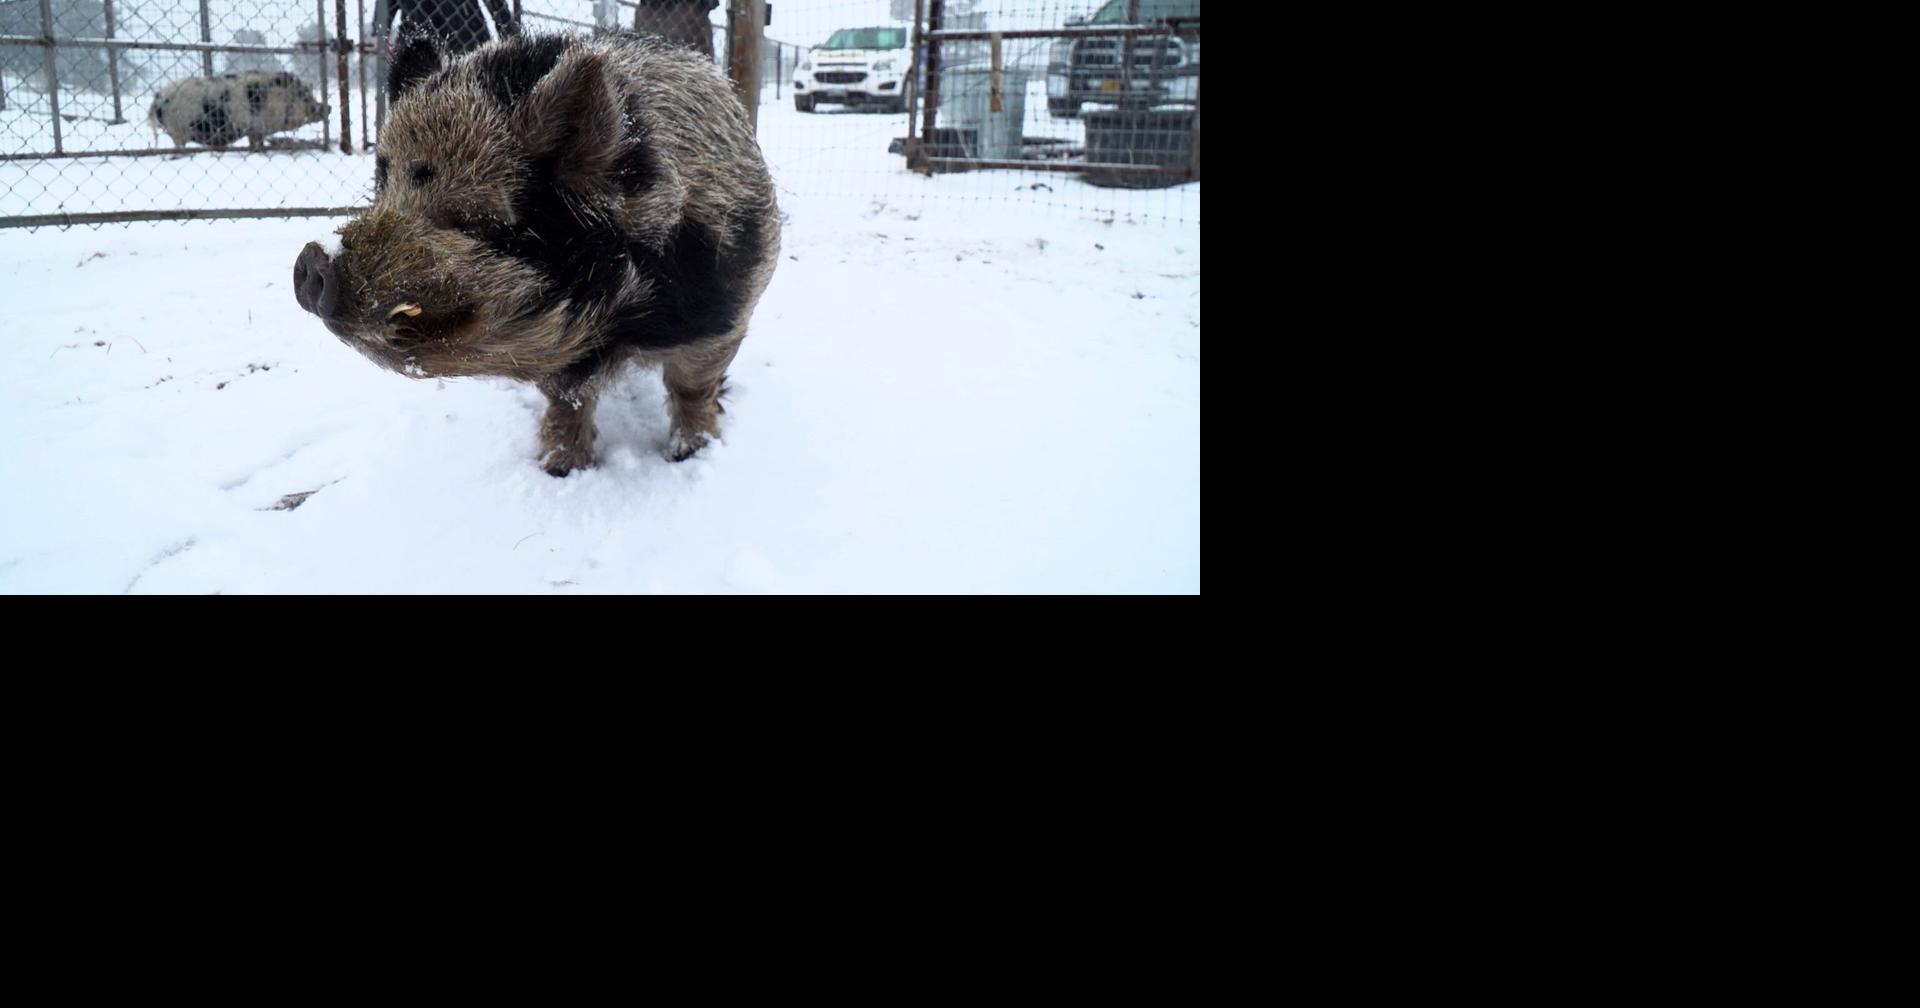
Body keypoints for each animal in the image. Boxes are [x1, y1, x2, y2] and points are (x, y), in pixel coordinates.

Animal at [149, 72, 329, 151]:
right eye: (306, 96)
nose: (328, 107)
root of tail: (157, 98)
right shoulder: (256, 128)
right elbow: (257, 144)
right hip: (178, 130)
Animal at [293, 31, 780, 475]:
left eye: (470, 216)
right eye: (383, 186)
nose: (313, 262)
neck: (617, 324)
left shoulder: (723, 315)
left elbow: (692, 387)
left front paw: (688, 455)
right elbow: (568, 400)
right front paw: (560, 468)